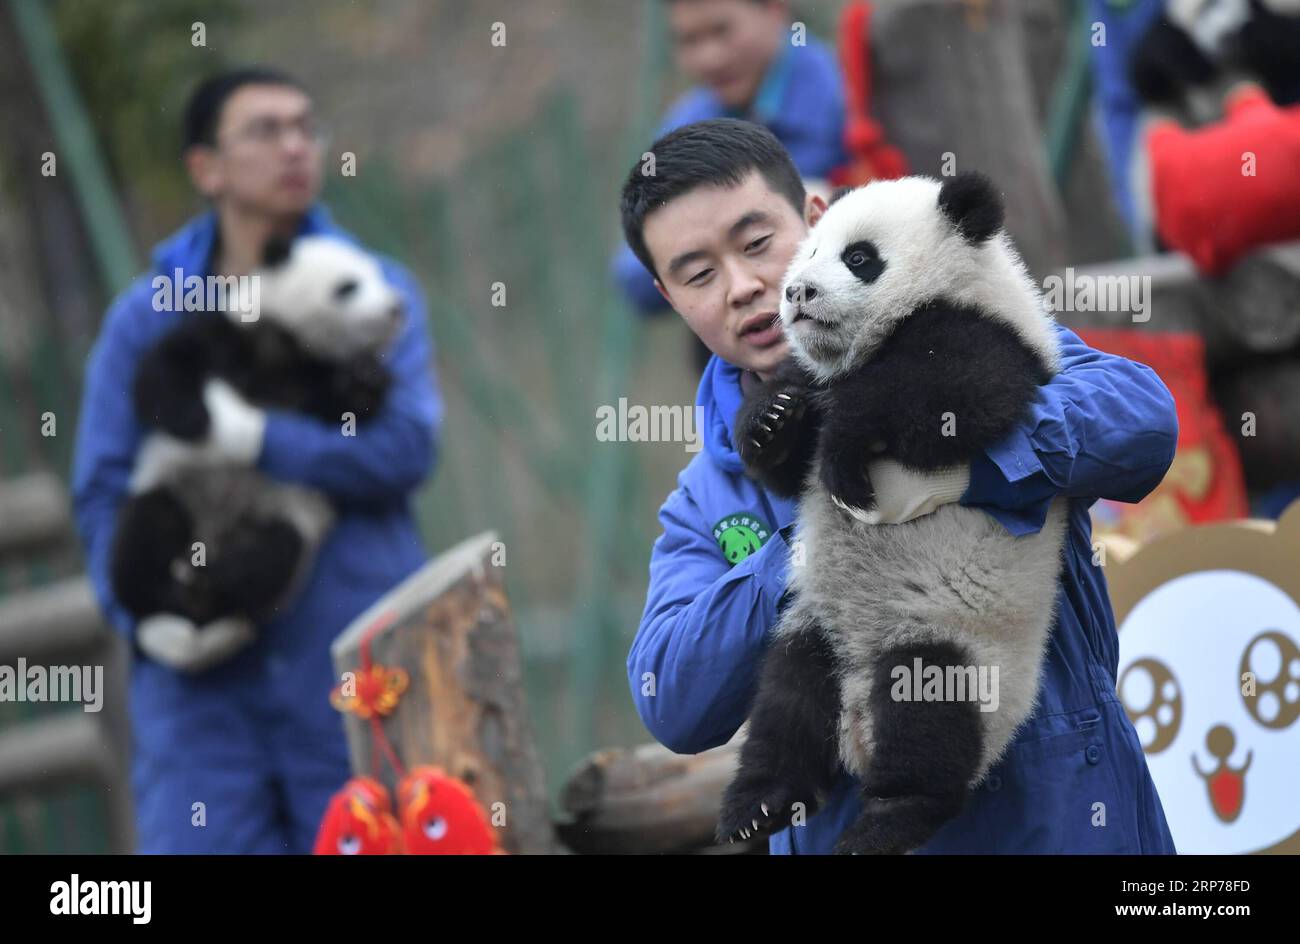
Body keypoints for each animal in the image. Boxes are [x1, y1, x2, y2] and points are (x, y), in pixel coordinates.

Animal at [110, 235, 402, 653]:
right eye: (349, 286)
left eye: (381, 276)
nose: (397, 308)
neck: (293, 345)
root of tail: (209, 539)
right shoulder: (232, 330)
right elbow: (165, 365)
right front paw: (197, 420)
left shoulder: (315, 381)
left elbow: (349, 417)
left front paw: (367, 378)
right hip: (173, 487)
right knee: (144, 533)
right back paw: (168, 596)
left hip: (282, 517)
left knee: (269, 557)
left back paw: (208, 589)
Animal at [717, 173, 1069, 854]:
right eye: (807, 252)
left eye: (859, 258)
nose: (797, 293)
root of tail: (858, 722)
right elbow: (788, 455)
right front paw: (773, 417)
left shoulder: (990, 334)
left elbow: (951, 396)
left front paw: (843, 447)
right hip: (813, 627)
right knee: (786, 701)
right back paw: (759, 803)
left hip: (962, 646)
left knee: (929, 711)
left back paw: (885, 820)